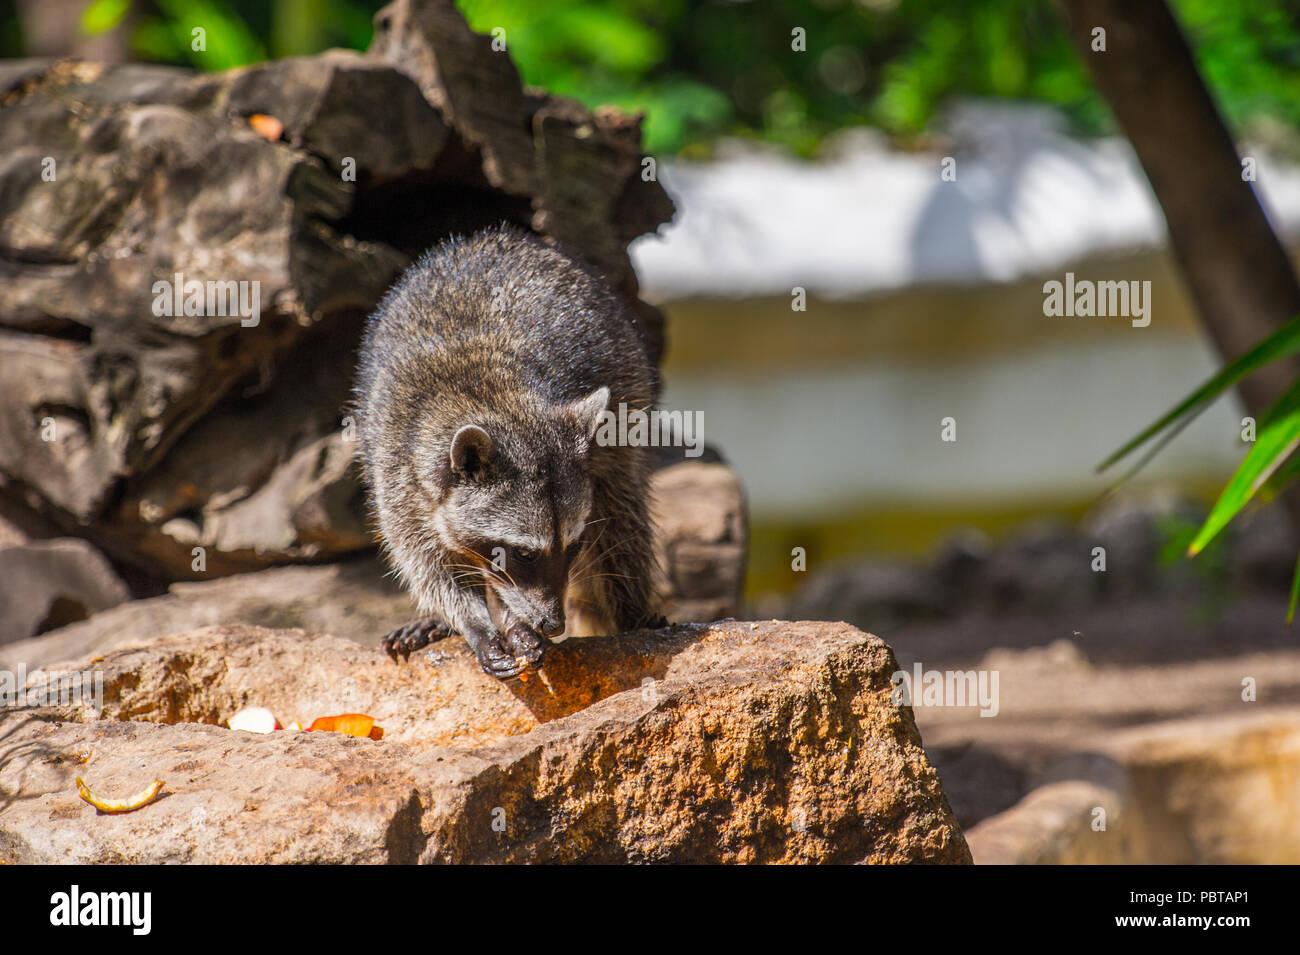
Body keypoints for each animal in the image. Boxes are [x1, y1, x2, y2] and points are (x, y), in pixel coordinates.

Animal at [353, 225, 663, 678]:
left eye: (573, 547)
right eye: (522, 553)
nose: (554, 624)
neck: (487, 394)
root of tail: (499, 235)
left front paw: (516, 620)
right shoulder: (396, 465)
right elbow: (425, 560)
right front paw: (472, 620)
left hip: (626, 382)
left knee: (623, 515)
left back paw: (633, 611)